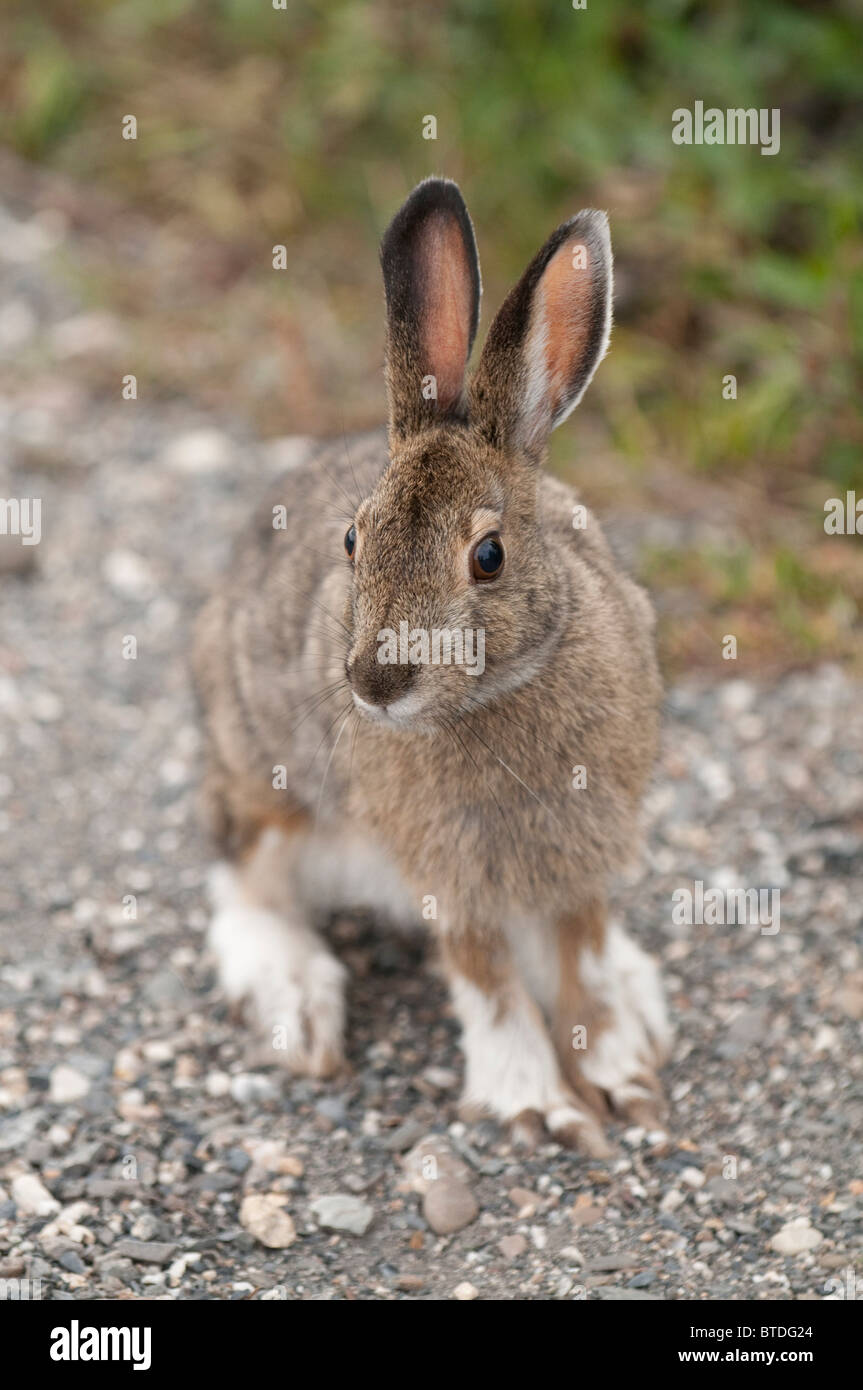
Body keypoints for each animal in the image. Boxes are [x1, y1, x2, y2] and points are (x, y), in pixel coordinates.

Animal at [192, 177, 671, 1155]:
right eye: (352, 540)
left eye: (487, 557)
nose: (375, 684)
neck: (503, 691)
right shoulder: (448, 871)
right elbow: (485, 977)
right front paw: (540, 1102)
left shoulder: (579, 856)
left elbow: (582, 954)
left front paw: (617, 1072)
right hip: (265, 782)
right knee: (242, 879)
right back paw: (296, 999)